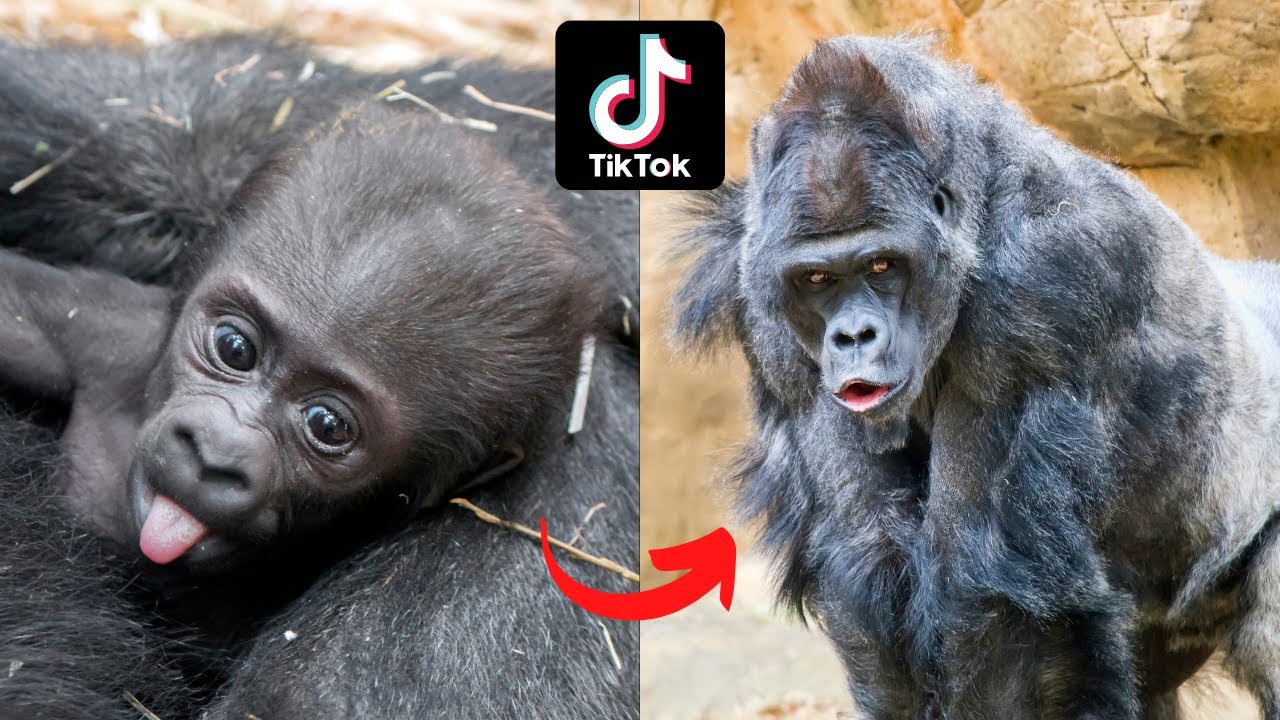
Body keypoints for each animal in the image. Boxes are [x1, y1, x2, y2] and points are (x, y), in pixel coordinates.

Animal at [673, 34, 1280, 720]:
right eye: (817, 278)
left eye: (882, 265)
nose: (853, 337)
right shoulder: (764, 310)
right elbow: (865, 553)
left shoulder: (1044, 285)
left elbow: (984, 594)